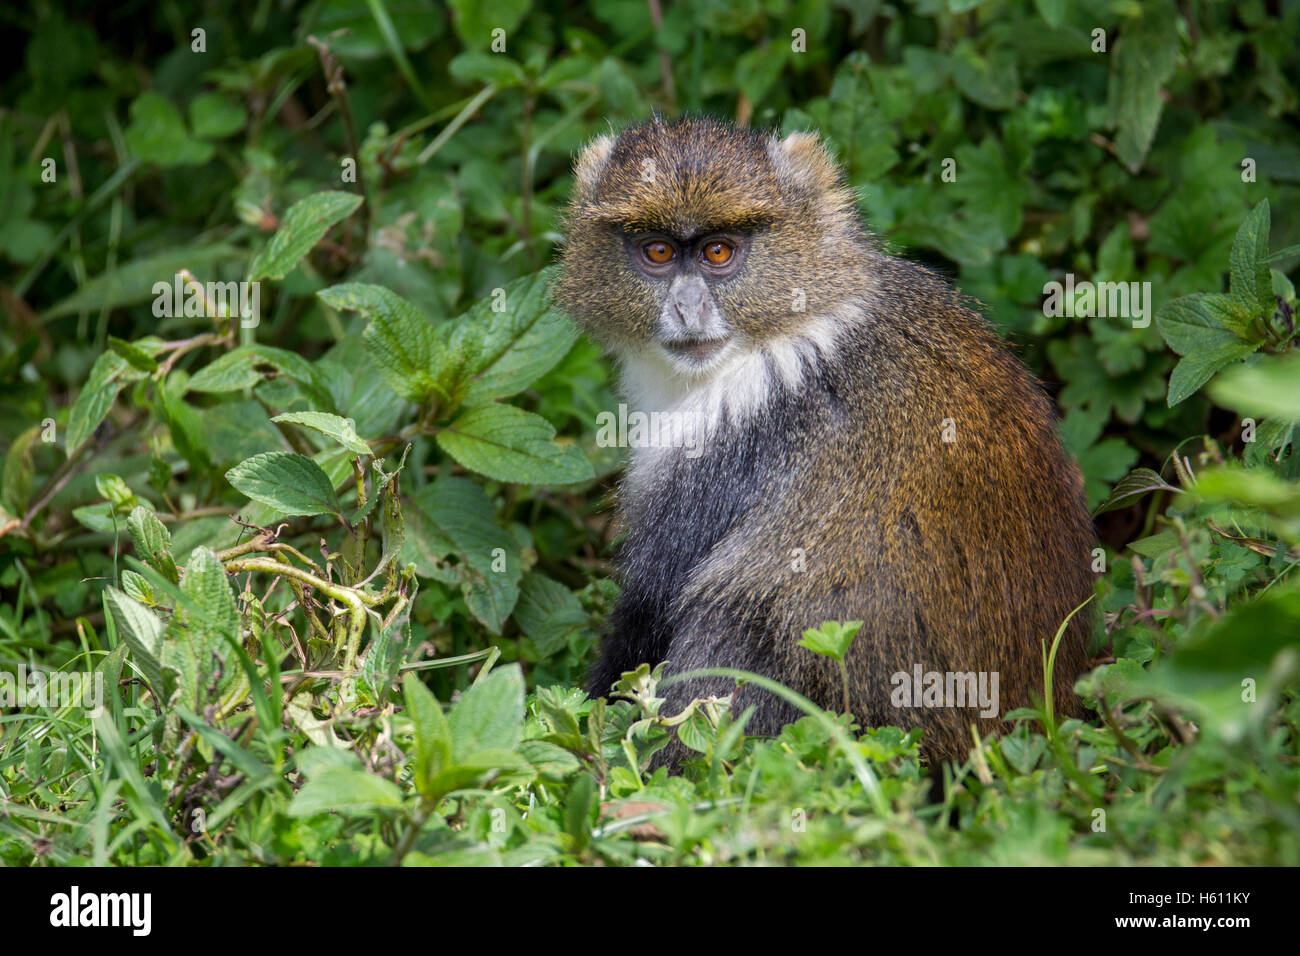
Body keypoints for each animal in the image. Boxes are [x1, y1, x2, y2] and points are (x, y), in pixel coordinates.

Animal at [552, 115, 1096, 770]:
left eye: (718, 252)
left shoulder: (733, 443)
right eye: (657, 252)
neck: (793, 322)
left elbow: (649, 612)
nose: (686, 309)